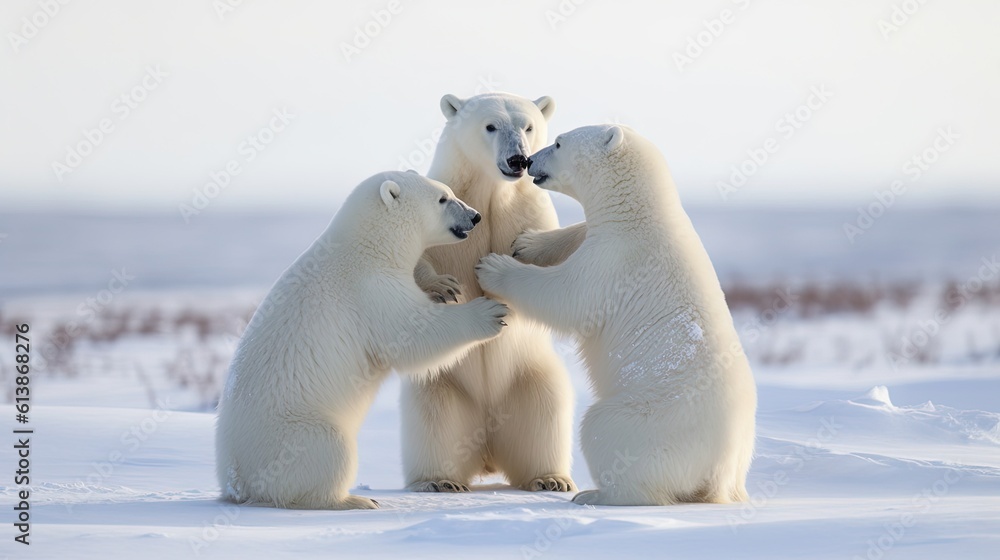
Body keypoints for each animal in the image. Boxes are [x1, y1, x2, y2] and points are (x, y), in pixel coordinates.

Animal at [215, 170, 509, 510]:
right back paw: (353, 500)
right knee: (330, 452)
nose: (475, 216)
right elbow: (411, 336)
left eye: (448, 192)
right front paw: (489, 312)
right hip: (296, 436)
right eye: (442, 199)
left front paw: (442, 284)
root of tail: (236, 481)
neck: (367, 247)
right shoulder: (371, 290)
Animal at [403, 92, 577, 493]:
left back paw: (550, 478)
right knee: (433, 418)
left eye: (528, 125)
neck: (490, 195)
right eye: (490, 125)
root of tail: (486, 452)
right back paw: (439, 480)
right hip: (441, 386)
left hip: (532, 382)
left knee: (546, 417)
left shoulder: (528, 213)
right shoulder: (442, 211)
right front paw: (444, 286)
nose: (518, 159)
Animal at [475, 125, 757, 506]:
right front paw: (528, 242)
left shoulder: (616, 262)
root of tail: (721, 472)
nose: (530, 160)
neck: (638, 216)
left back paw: (596, 494)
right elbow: (577, 236)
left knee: (604, 431)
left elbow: (568, 297)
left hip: (650, 421)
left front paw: (494, 267)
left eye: (559, 143)